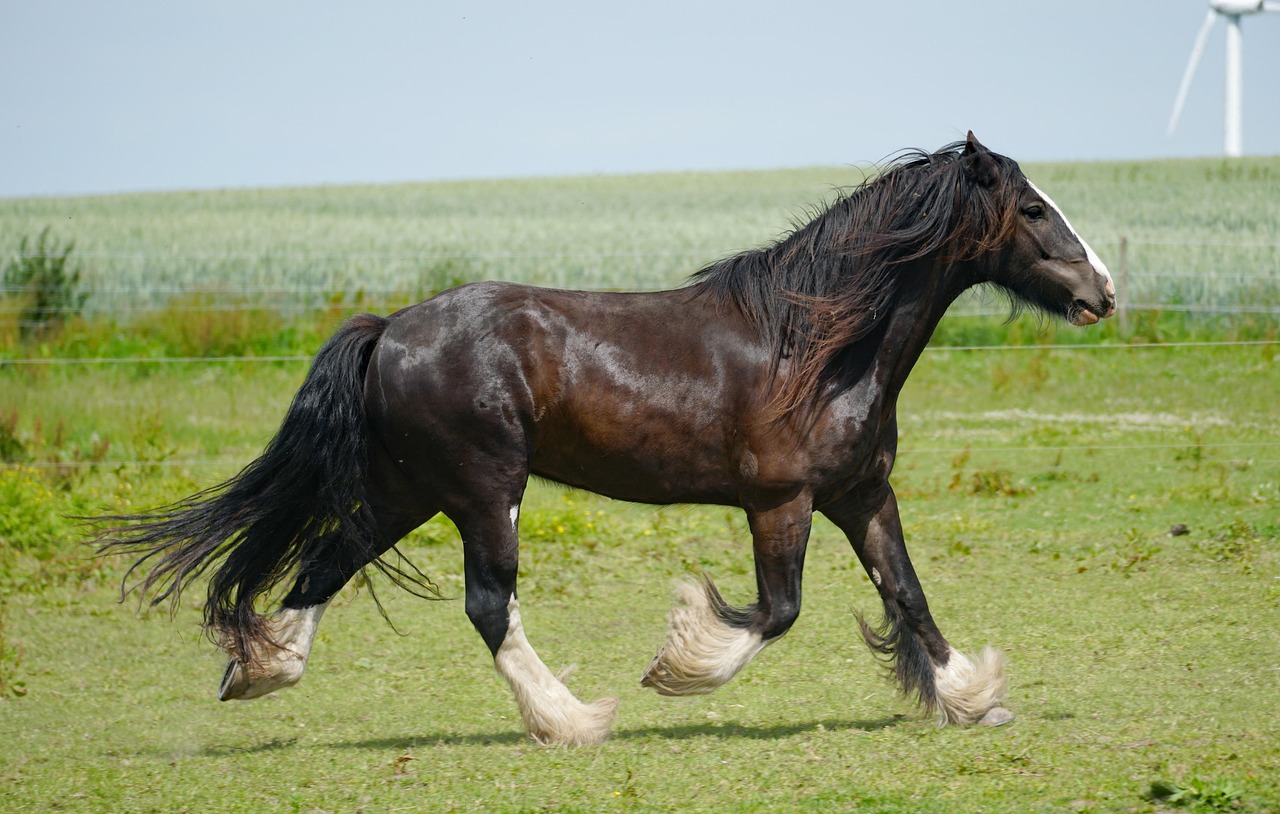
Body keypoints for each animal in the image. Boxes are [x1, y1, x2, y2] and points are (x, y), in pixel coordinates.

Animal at [94, 133, 1115, 746]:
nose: (1104, 292)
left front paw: (973, 697)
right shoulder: (780, 501)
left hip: (405, 488)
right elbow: (777, 612)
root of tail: (390, 329)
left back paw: (259, 669)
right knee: (488, 605)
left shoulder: (862, 494)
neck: (816, 347)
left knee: (325, 562)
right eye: (1031, 210)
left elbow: (907, 594)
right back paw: (575, 719)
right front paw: (678, 664)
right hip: (481, 490)